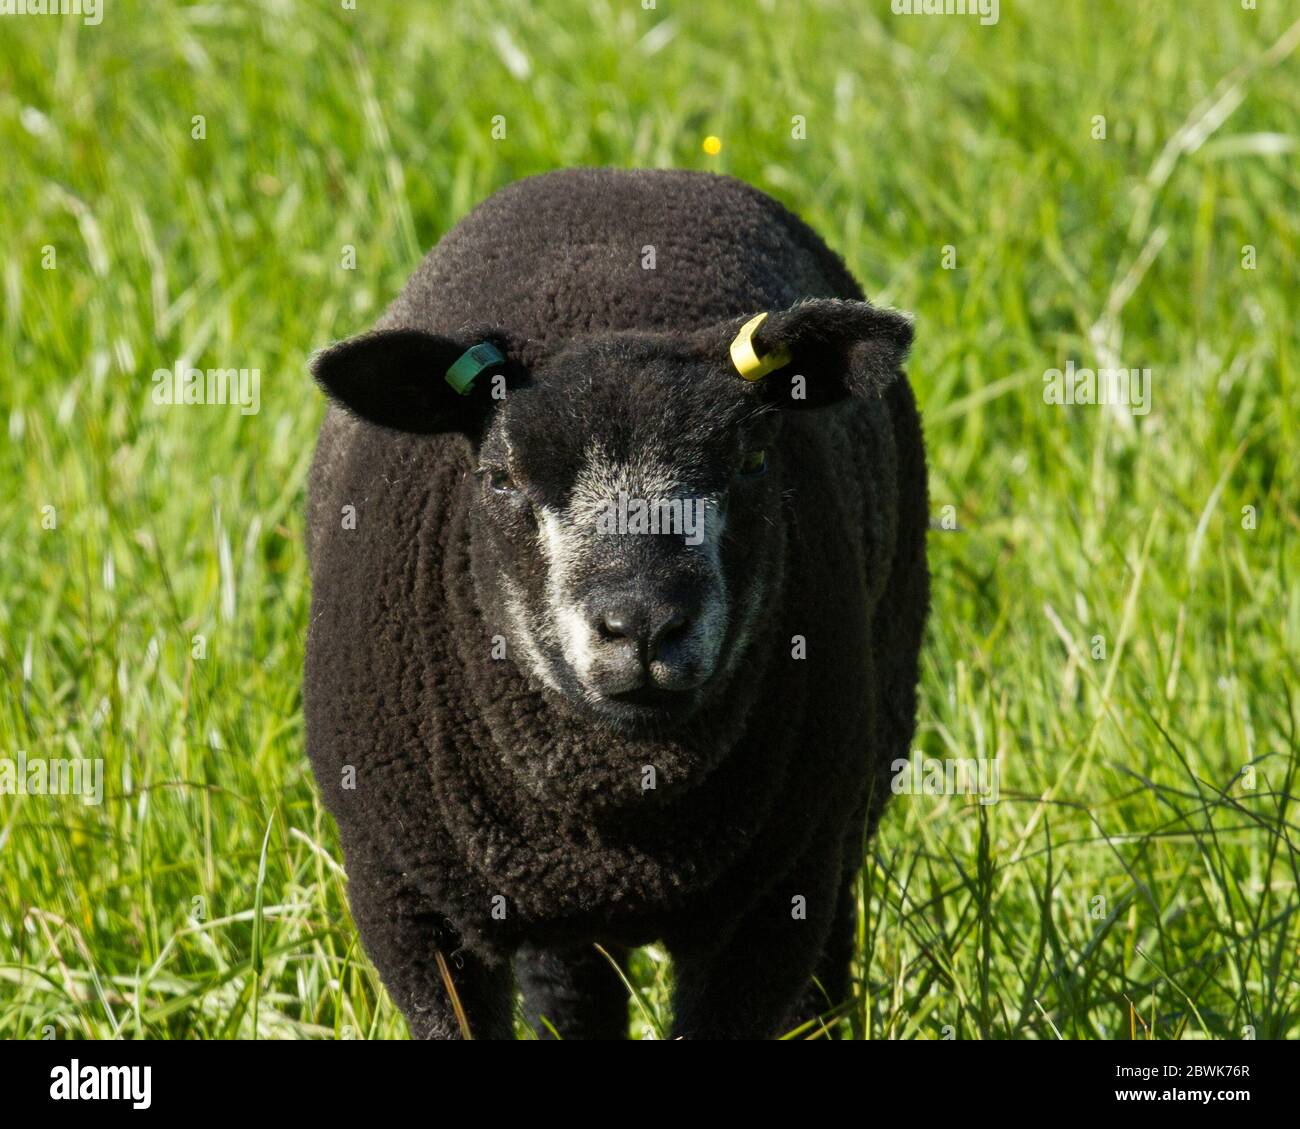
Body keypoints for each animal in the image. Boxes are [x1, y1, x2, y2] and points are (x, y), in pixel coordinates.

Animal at [305, 168, 929, 1039]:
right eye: (499, 477)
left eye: (754, 460)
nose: (642, 625)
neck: (614, 815)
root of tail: (632, 173)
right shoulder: (403, 896)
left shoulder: (775, 903)